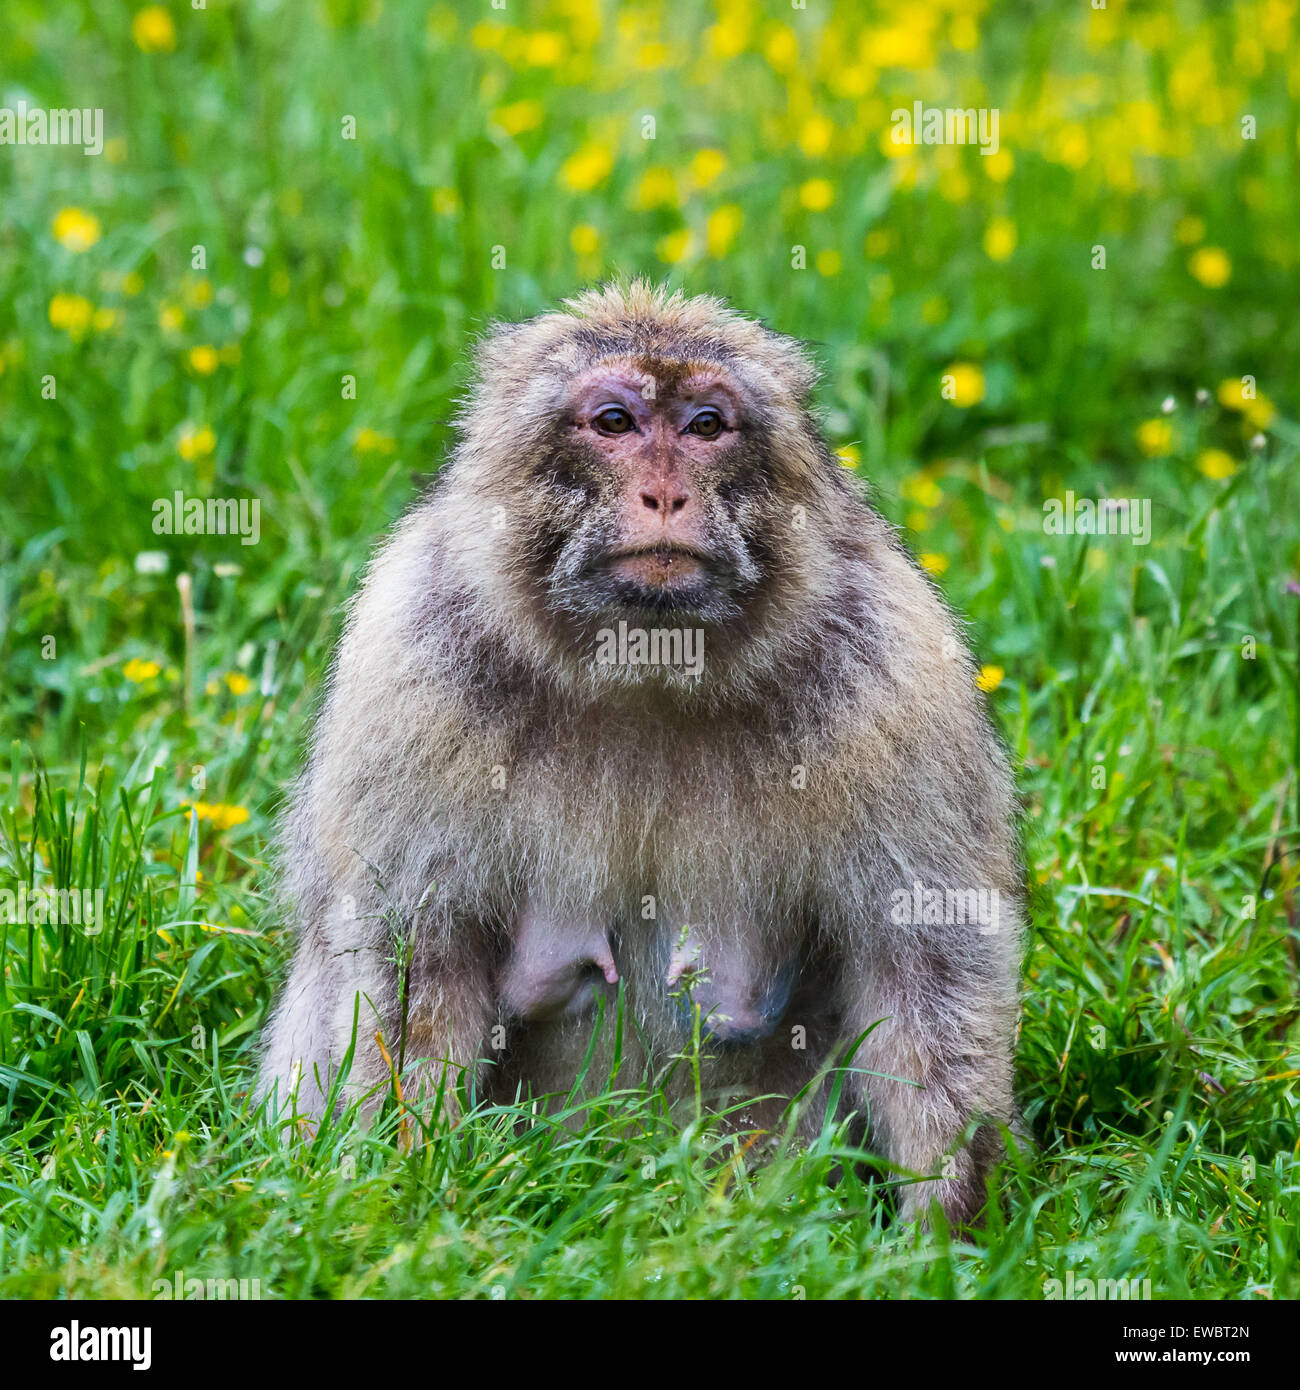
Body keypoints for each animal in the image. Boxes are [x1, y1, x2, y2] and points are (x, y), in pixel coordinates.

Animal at [259, 280, 1025, 1228]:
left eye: (705, 425)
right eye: (615, 421)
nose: (665, 494)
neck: (647, 660)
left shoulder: (896, 680)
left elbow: (923, 961)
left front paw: (947, 1222)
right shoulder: (409, 669)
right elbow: (413, 956)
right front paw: (404, 1183)